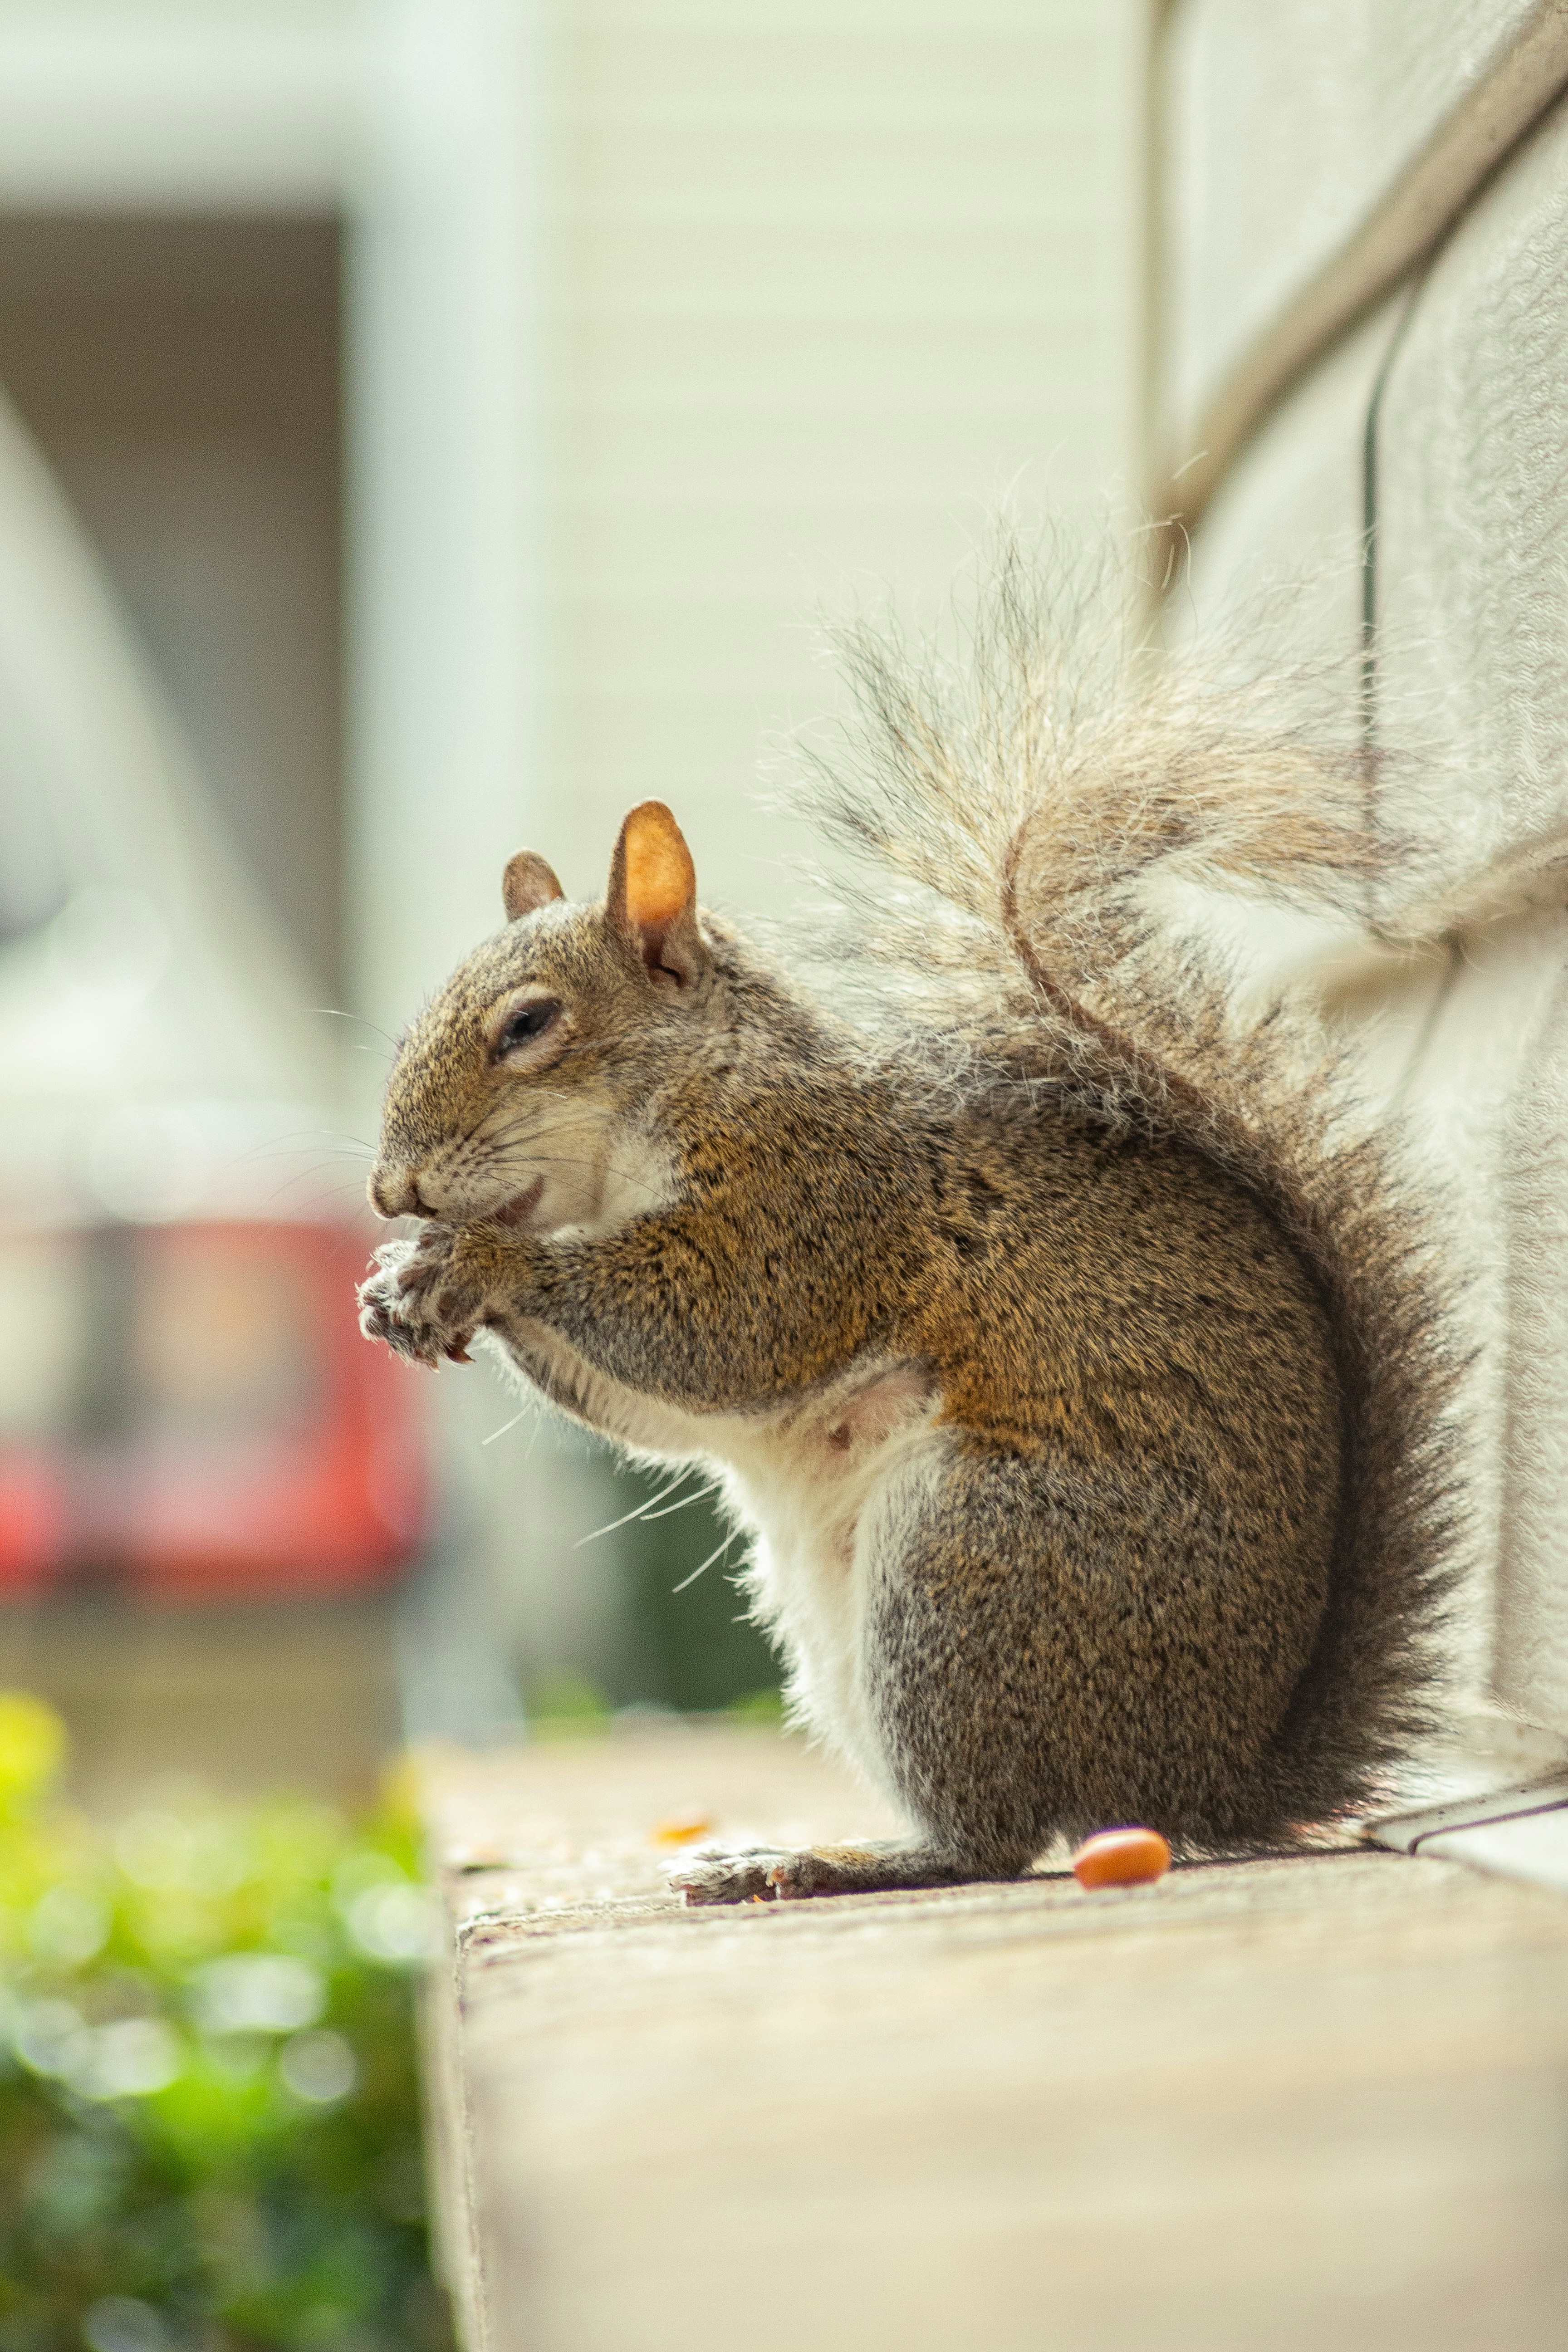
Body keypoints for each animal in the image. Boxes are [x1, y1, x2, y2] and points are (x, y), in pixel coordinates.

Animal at [357, 538, 1459, 1902]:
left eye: (526, 1025)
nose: (390, 1189)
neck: (669, 1121)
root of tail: (1203, 1773)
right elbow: (665, 1408)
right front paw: (398, 1284)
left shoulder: (818, 1209)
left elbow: (715, 1331)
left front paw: (480, 1258)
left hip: (974, 1557)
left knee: (990, 1837)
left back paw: (826, 1860)